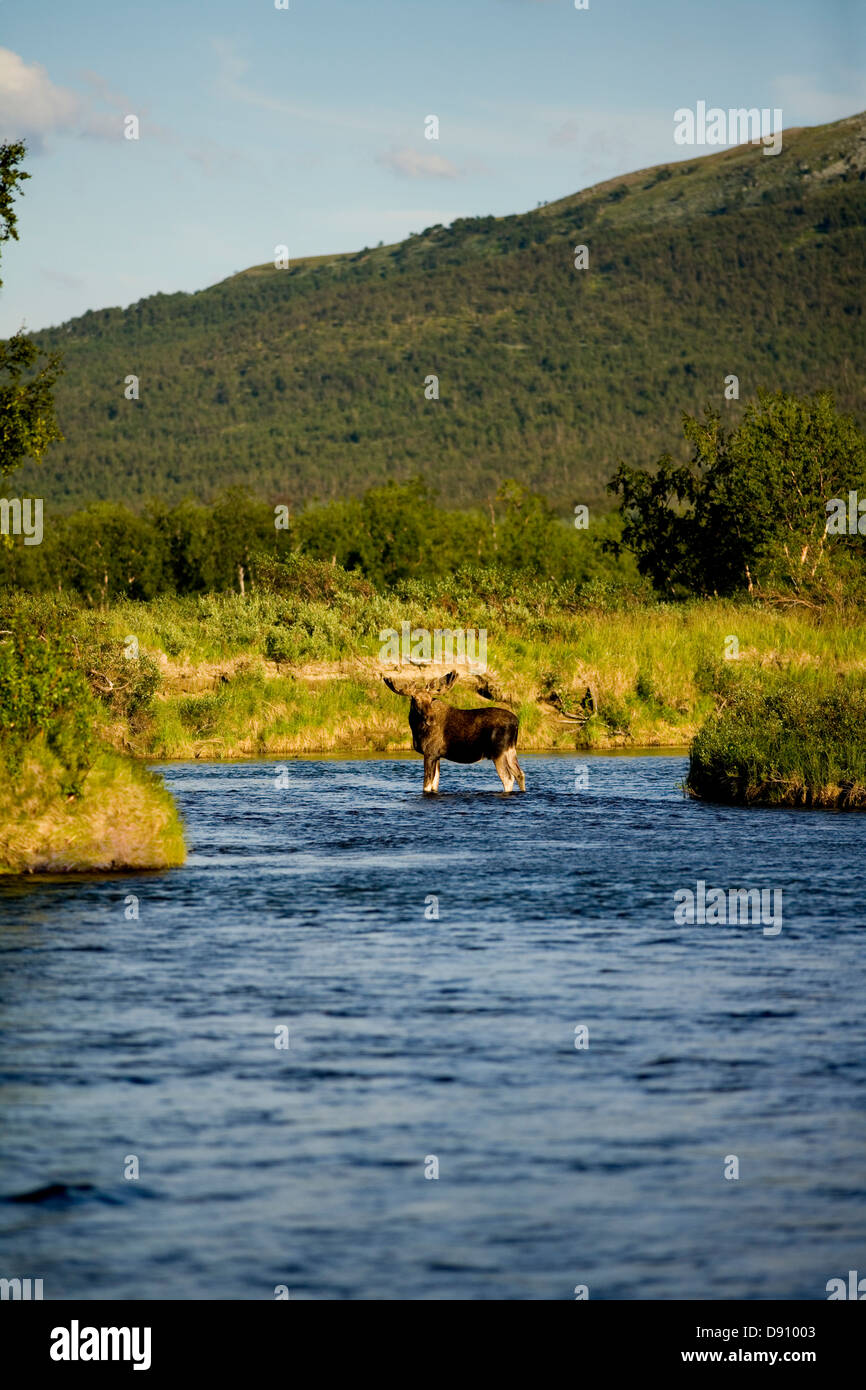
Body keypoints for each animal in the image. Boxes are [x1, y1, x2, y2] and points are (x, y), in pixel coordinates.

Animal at [383, 671, 526, 794]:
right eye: (416, 699)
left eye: (430, 699)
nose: (430, 719)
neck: (416, 729)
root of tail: (516, 723)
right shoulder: (437, 755)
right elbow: (435, 784)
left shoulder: (430, 752)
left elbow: (426, 785)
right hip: (510, 750)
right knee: (520, 774)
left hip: (498, 752)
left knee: (508, 778)